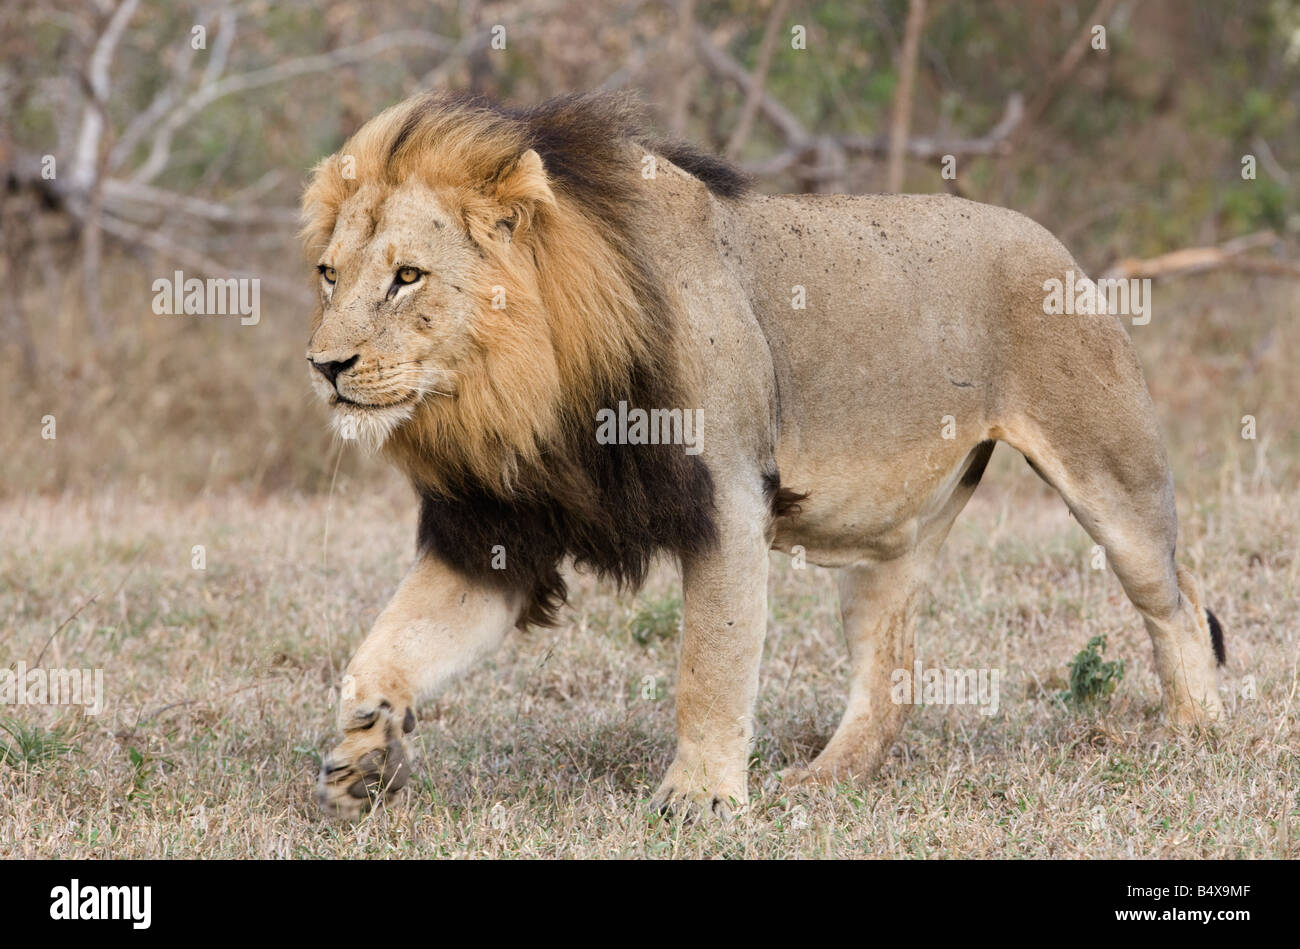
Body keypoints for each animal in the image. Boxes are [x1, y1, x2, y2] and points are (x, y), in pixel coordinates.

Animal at [301, 92, 1225, 820]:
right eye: (329, 274)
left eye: (408, 277)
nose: (325, 366)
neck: (522, 392)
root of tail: (1051, 240)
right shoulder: (496, 534)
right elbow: (388, 647)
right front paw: (363, 752)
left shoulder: (729, 501)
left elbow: (709, 666)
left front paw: (699, 798)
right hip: (885, 537)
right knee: (891, 668)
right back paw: (824, 780)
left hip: (1113, 477)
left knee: (1178, 601)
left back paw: (1196, 734)